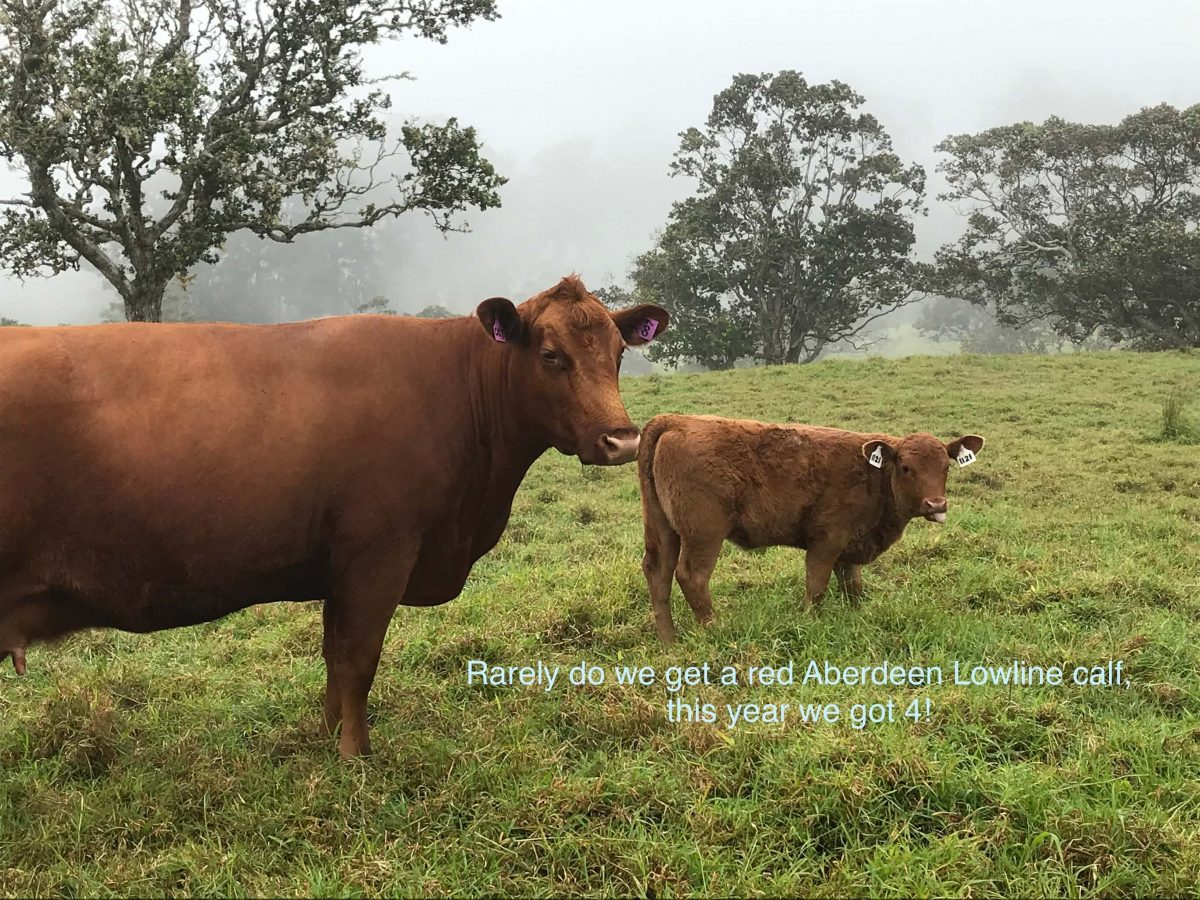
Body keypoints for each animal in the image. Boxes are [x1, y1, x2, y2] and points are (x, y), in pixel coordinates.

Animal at [0, 275, 667, 757]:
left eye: (618, 354)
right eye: (551, 355)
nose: (622, 440)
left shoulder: (339, 568)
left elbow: (332, 657)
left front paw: (324, 741)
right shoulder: (379, 554)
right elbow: (358, 659)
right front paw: (355, 756)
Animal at [637, 415, 984, 643]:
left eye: (946, 466)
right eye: (906, 467)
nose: (936, 504)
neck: (872, 475)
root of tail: (675, 420)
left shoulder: (850, 545)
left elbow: (853, 585)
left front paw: (857, 616)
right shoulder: (826, 541)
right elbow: (817, 585)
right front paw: (806, 622)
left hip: (663, 529)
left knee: (658, 573)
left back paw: (669, 640)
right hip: (704, 533)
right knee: (691, 576)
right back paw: (714, 629)